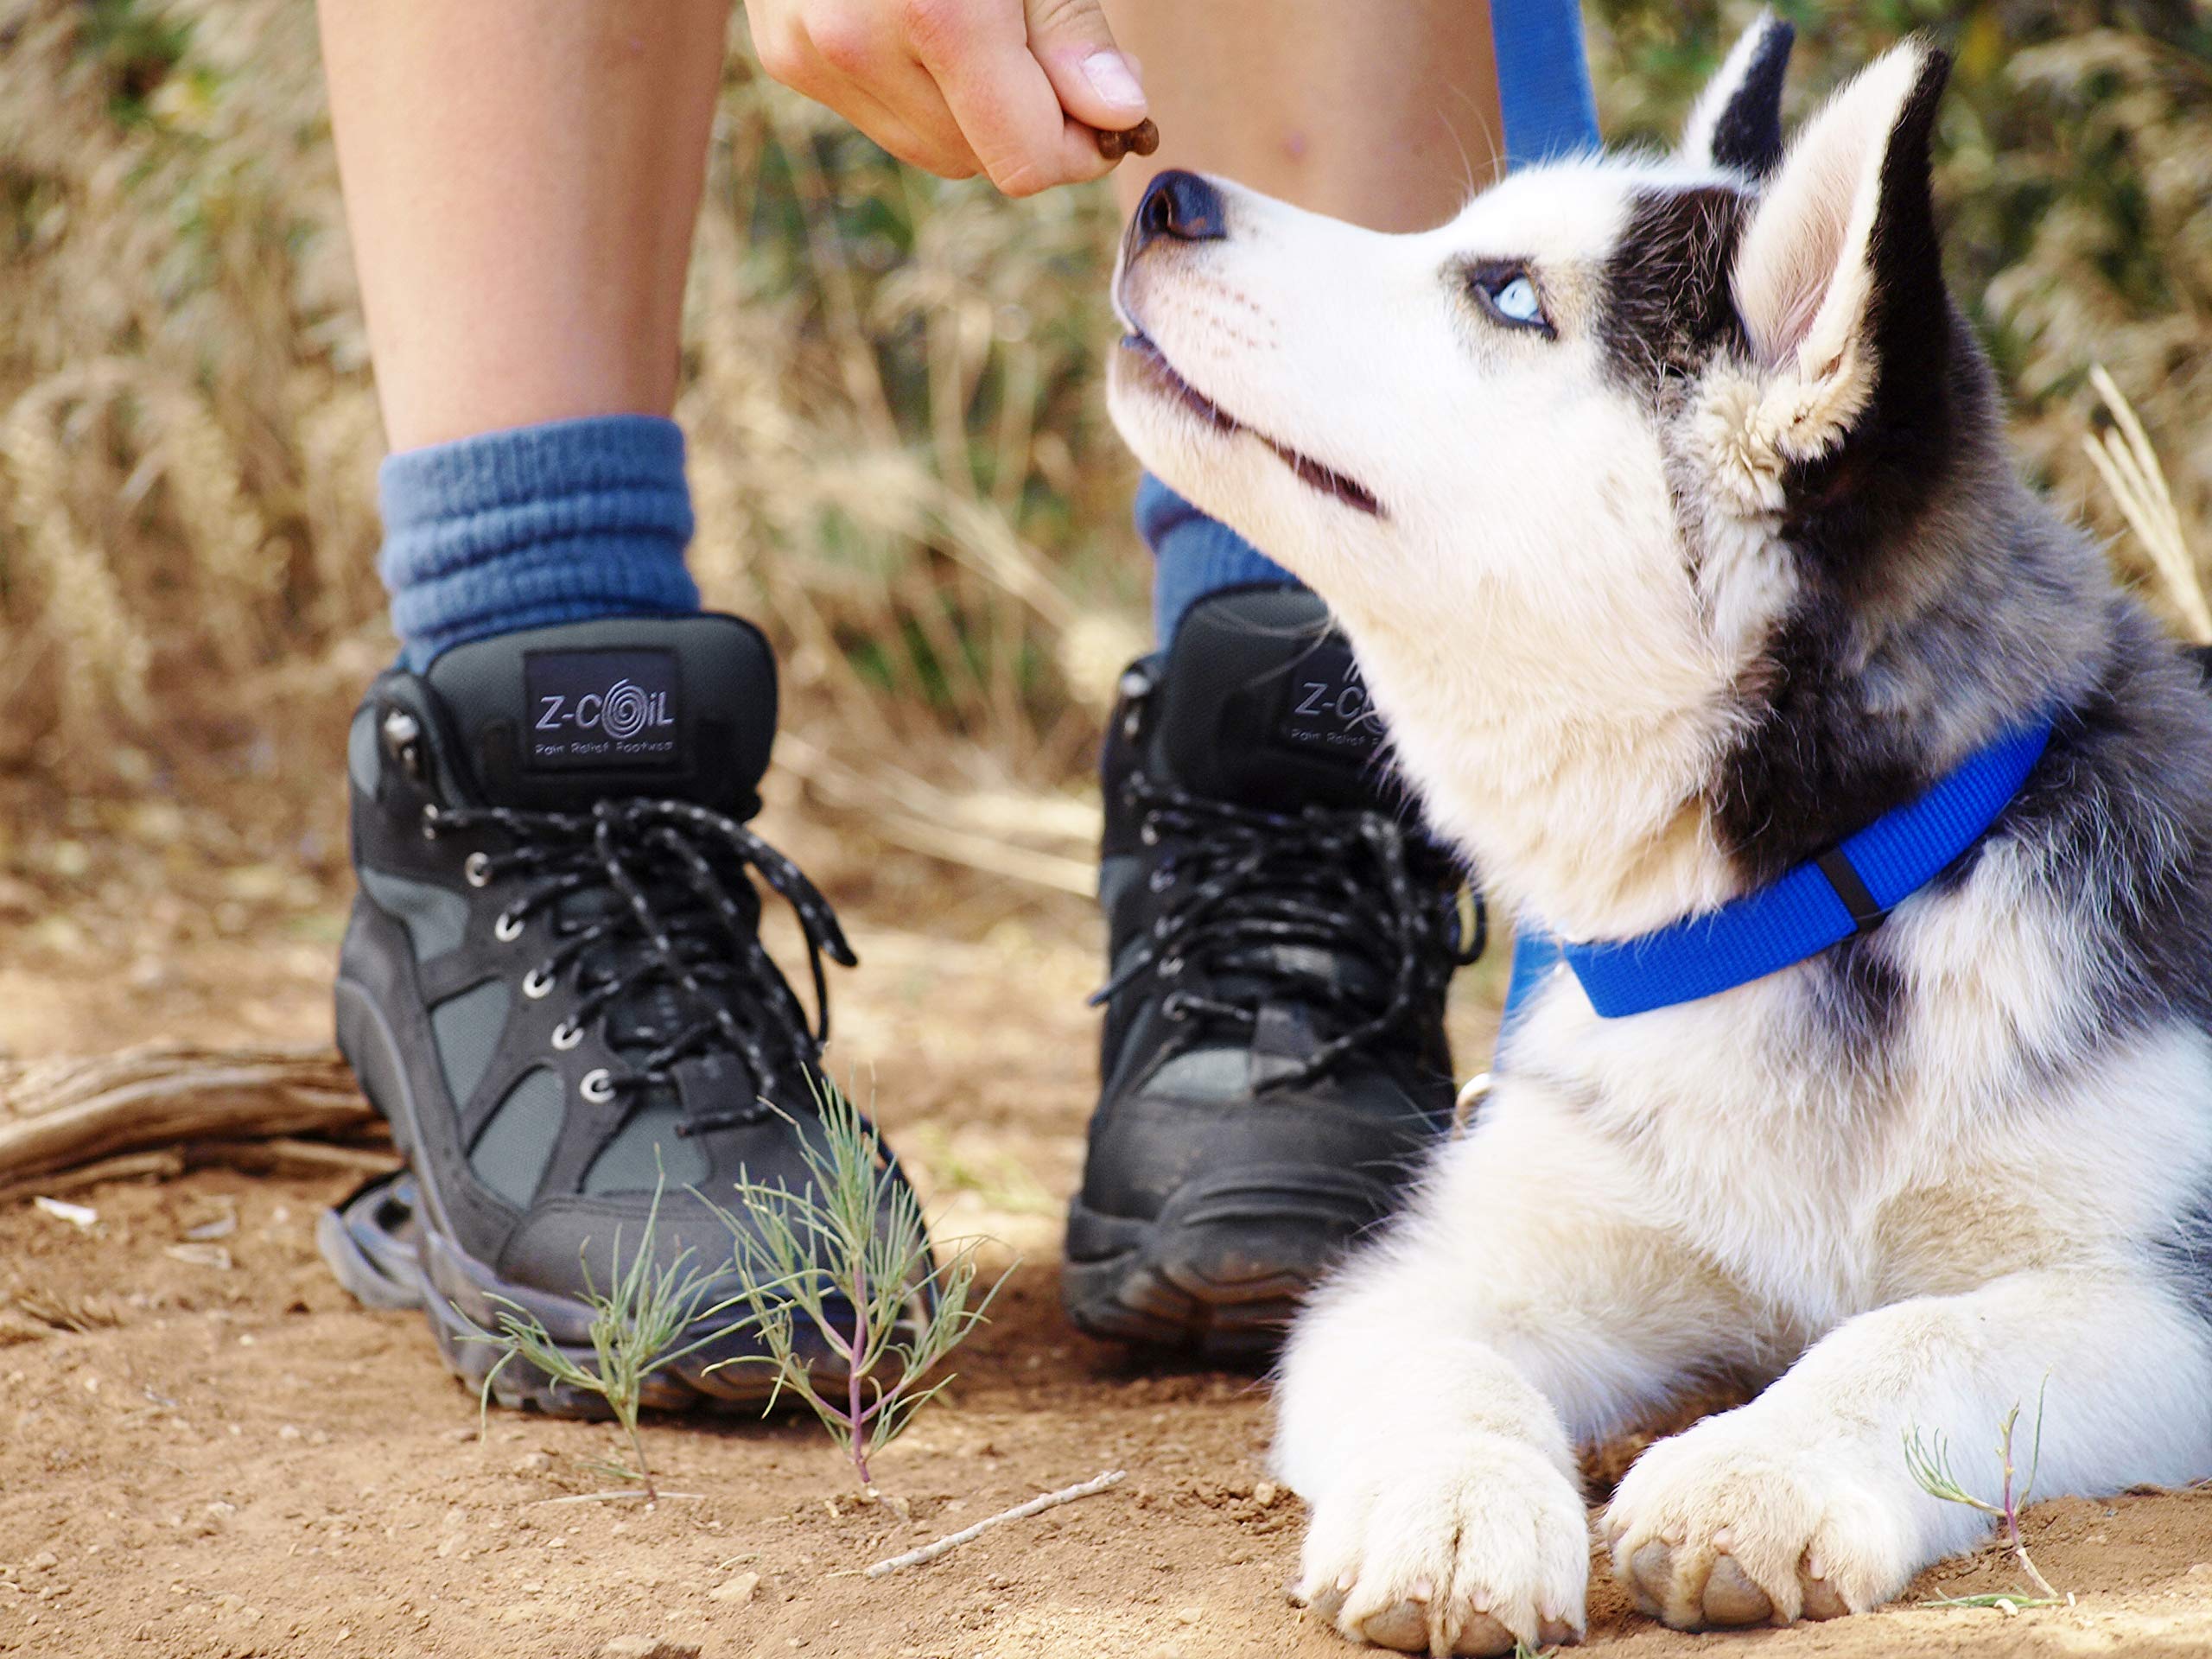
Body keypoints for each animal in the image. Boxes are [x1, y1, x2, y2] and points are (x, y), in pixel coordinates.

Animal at [1115, 16, 2212, 1659]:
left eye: (1507, 295)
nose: (1159, 194)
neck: (1822, 901)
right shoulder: (1434, 1277)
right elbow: (1453, 1373)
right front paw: (1455, 1510)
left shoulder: (2166, 1290)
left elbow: (1925, 1332)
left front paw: (1761, 1467)